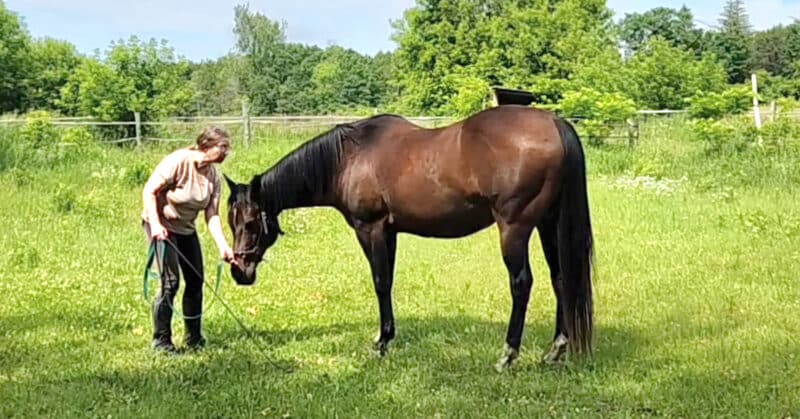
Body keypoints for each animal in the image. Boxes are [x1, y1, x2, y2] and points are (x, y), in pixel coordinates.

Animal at [223, 105, 594, 370]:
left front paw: (381, 343)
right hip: (548, 224)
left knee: (522, 283)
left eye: (252, 222)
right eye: (231, 221)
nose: (239, 272)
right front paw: (388, 337)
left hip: (515, 228)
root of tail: (554, 123)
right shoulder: (389, 232)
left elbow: (379, 282)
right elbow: (387, 281)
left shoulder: (370, 229)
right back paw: (555, 350)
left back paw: (507, 355)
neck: (349, 158)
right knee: (561, 278)